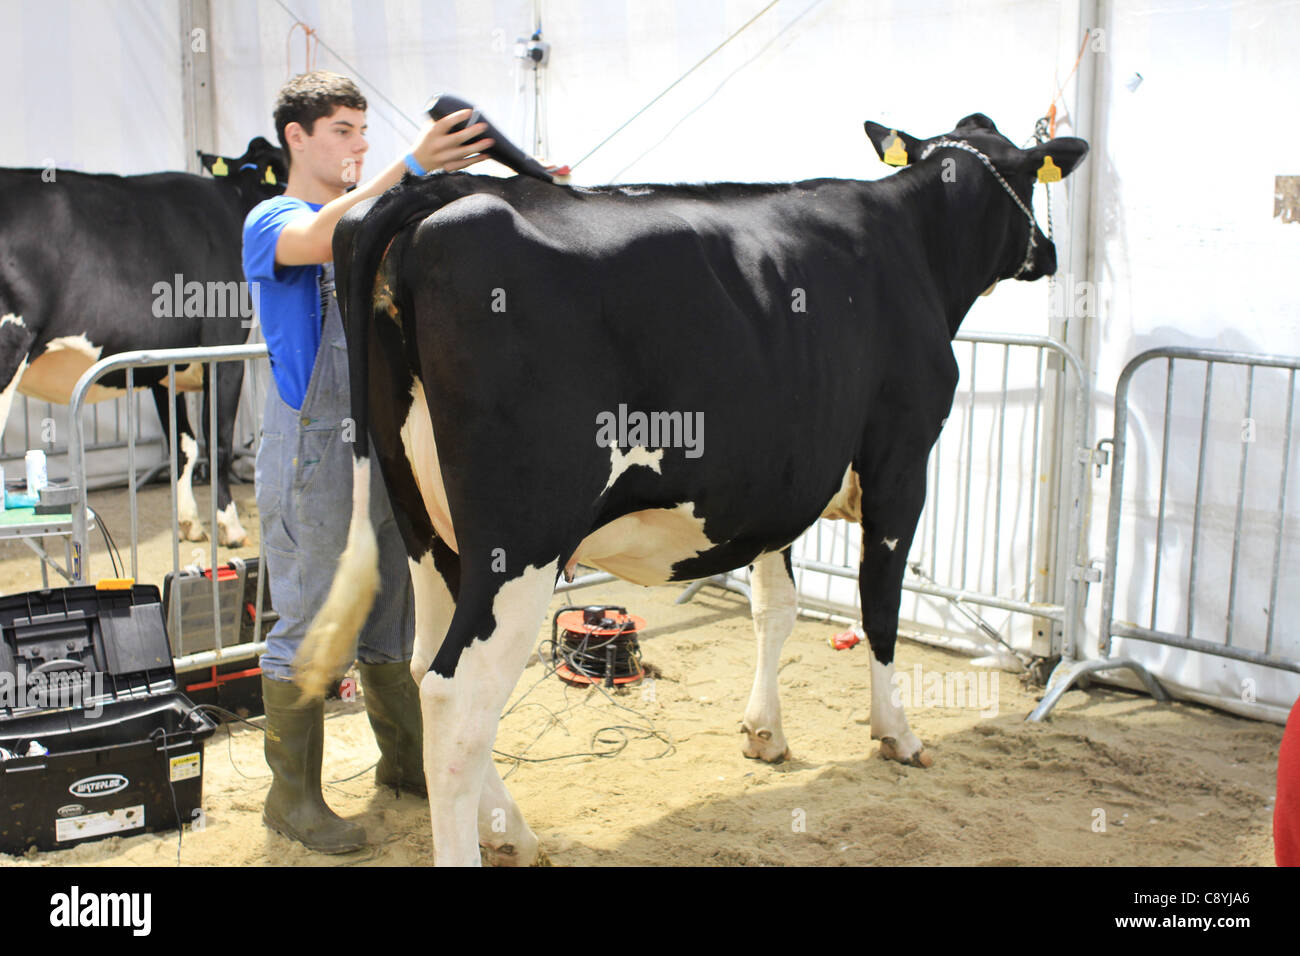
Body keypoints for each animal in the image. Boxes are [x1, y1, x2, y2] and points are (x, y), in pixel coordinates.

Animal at [0, 137, 287, 546]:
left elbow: (184, 445)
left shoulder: (164, 364)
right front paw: (229, 527)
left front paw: (189, 523)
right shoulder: (225, 350)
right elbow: (218, 441)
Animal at [295, 112, 1088, 865]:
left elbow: (776, 609)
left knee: (426, 667)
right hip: (521, 541)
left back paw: (512, 833)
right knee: (458, 695)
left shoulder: (781, 488)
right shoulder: (902, 461)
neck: (915, 245)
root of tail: (443, 194)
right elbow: (881, 609)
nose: (1051, 253)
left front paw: (764, 732)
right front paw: (898, 735)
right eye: (1031, 172)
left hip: (425, 527)